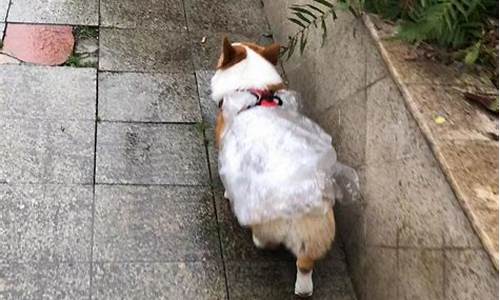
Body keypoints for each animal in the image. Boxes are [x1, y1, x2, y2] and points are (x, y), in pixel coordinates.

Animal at [211, 38, 336, 298]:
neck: (253, 88)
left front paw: (227, 193)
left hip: (266, 222)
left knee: (265, 240)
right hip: (318, 234)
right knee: (305, 265)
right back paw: (304, 288)